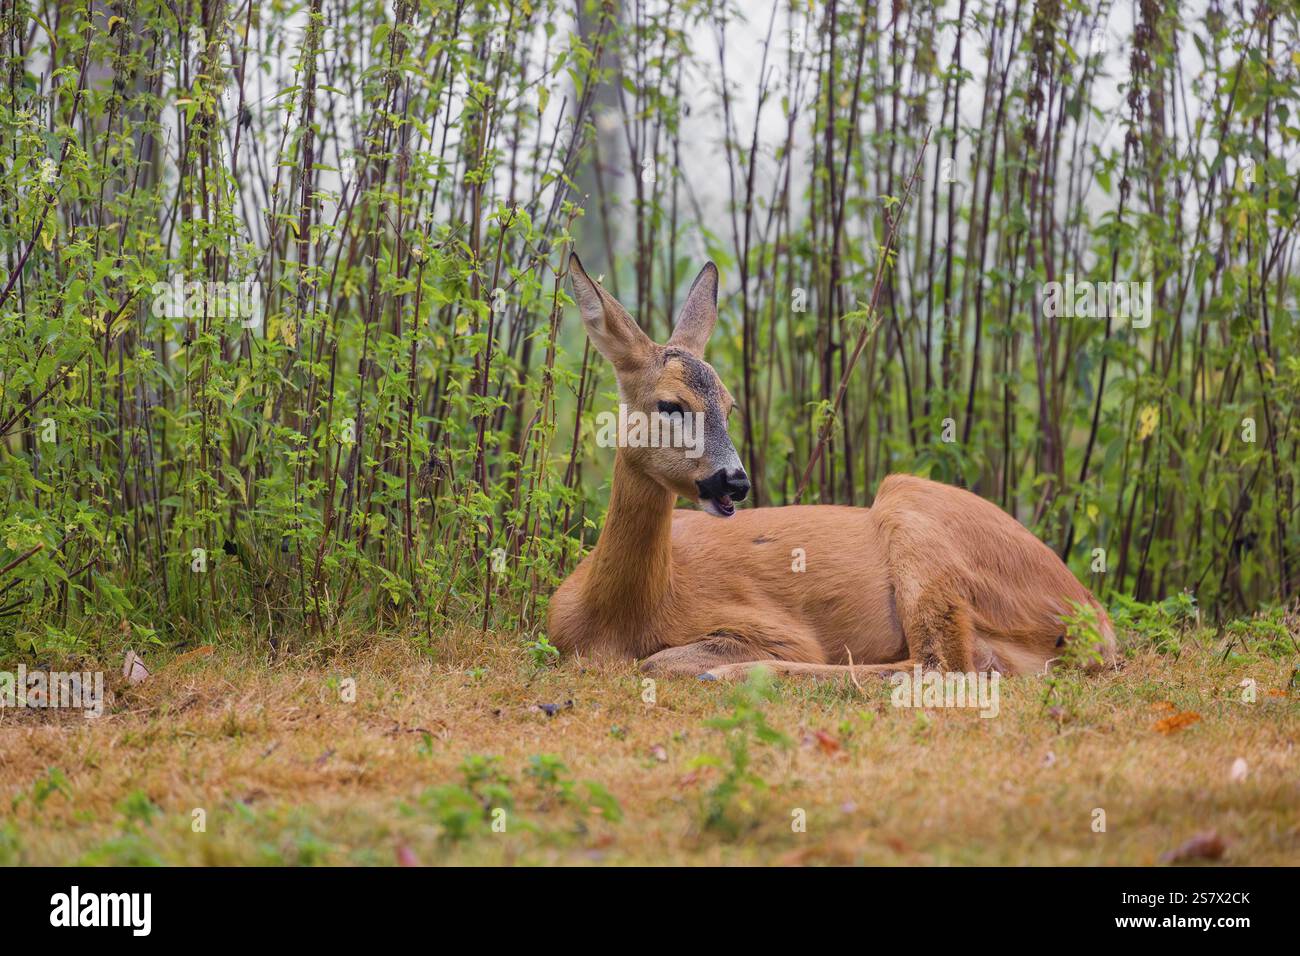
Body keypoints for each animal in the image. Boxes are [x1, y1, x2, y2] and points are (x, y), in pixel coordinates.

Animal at [547, 254, 1118, 681]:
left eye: (729, 406)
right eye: (670, 405)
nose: (735, 480)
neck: (622, 616)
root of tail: (1093, 616)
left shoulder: (776, 629)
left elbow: (658, 662)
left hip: (913, 516)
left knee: (946, 663)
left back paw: (733, 674)